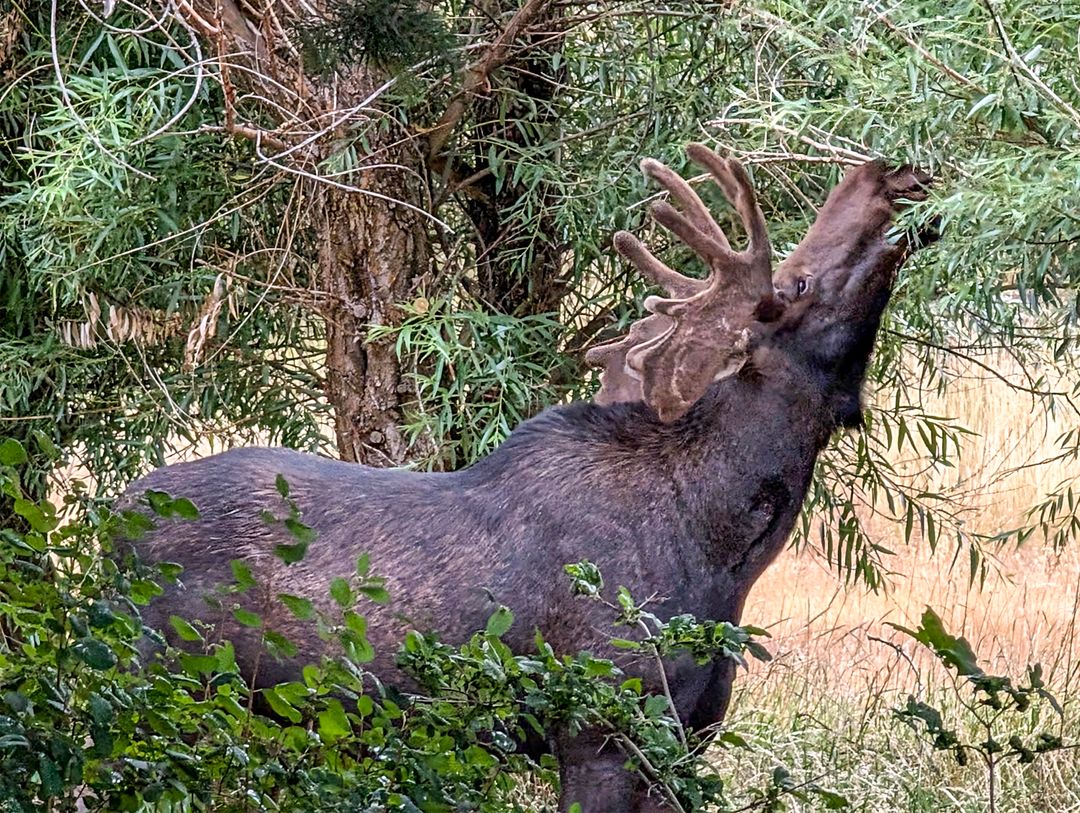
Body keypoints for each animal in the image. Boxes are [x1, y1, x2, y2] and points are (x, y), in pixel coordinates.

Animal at [123, 144, 934, 812]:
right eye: (797, 282)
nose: (888, 174)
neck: (723, 547)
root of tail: (107, 526)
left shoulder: (689, 737)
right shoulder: (602, 731)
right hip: (161, 687)